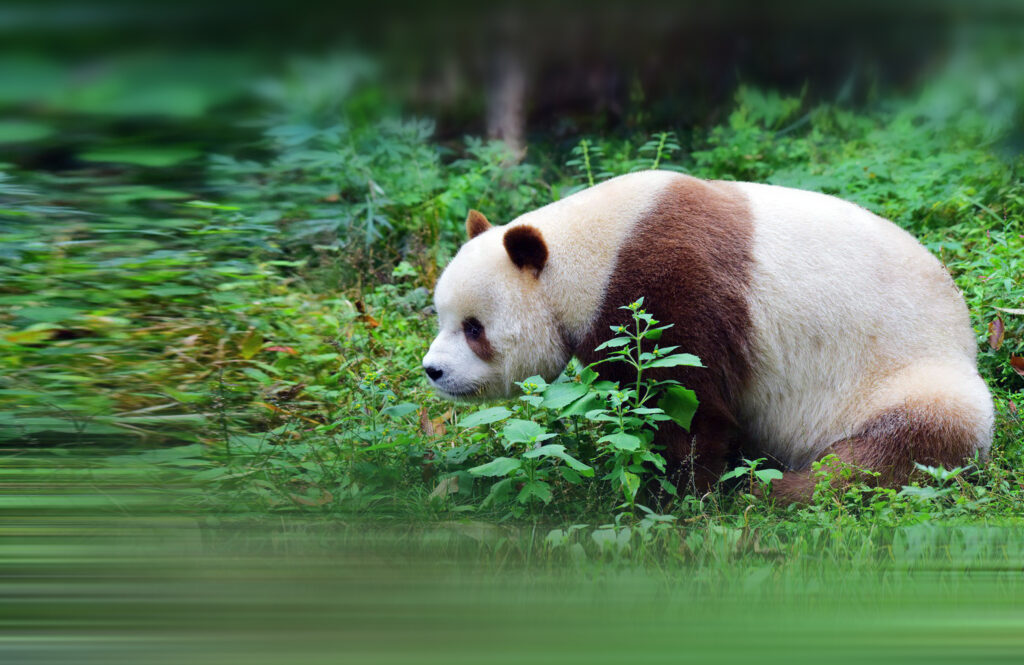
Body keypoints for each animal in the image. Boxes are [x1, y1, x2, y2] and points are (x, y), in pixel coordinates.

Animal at [422, 170, 994, 501]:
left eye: (474, 329)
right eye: (441, 318)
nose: (434, 371)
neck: (590, 252)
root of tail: (966, 337)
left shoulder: (667, 281)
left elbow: (685, 399)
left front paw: (683, 492)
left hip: (904, 374)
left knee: (889, 453)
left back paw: (773, 489)